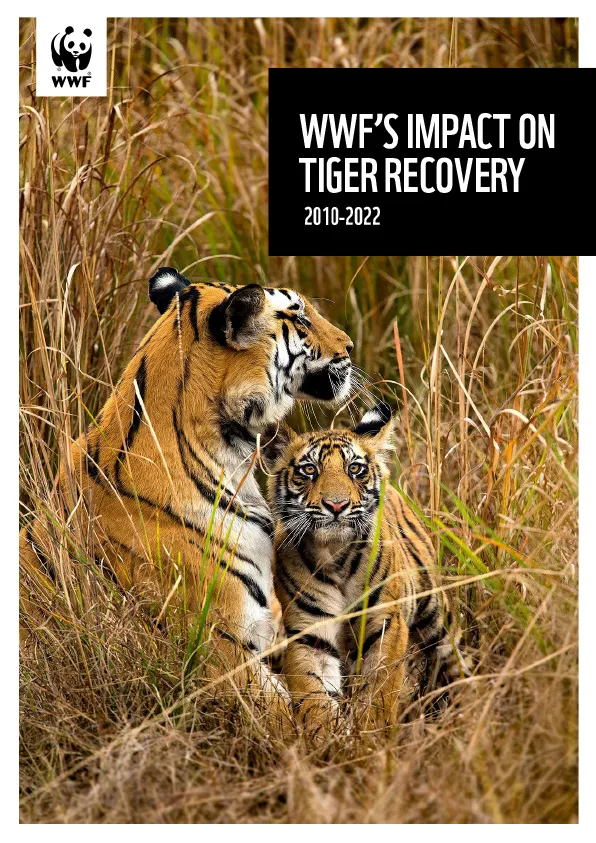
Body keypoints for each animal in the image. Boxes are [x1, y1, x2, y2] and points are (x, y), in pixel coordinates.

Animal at [263, 401, 469, 737]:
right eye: (309, 470)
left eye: (354, 469)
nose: (336, 505)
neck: (334, 554)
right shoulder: (309, 630)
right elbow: (313, 693)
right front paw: (326, 739)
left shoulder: (386, 623)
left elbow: (379, 689)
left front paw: (370, 737)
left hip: (437, 616)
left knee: (451, 658)